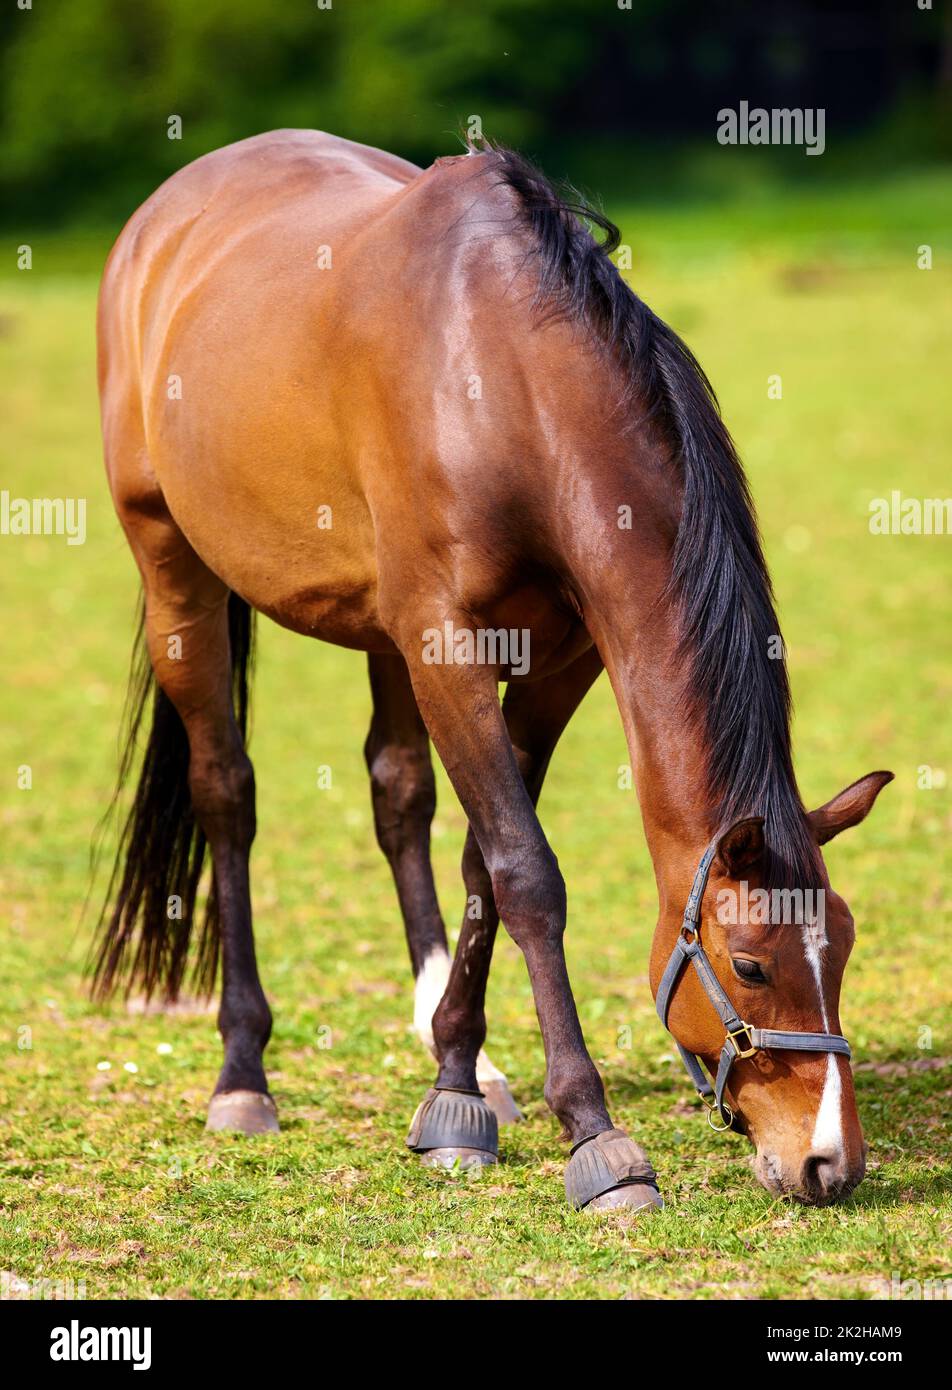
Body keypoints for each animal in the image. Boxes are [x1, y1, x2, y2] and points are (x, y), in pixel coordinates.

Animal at [94, 129, 892, 1212]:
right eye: (752, 965)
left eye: (841, 948)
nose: (829, 1162)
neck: (503, 382)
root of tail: (162, 214)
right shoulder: (450, 645)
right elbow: (527, 873)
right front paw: (596, 1136)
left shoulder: (558, 661)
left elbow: (480, 860)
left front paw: (454, 1093)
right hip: (171, 563)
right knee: (226, 792)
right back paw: (242, 1073)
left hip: (379, 635)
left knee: (398, 795)